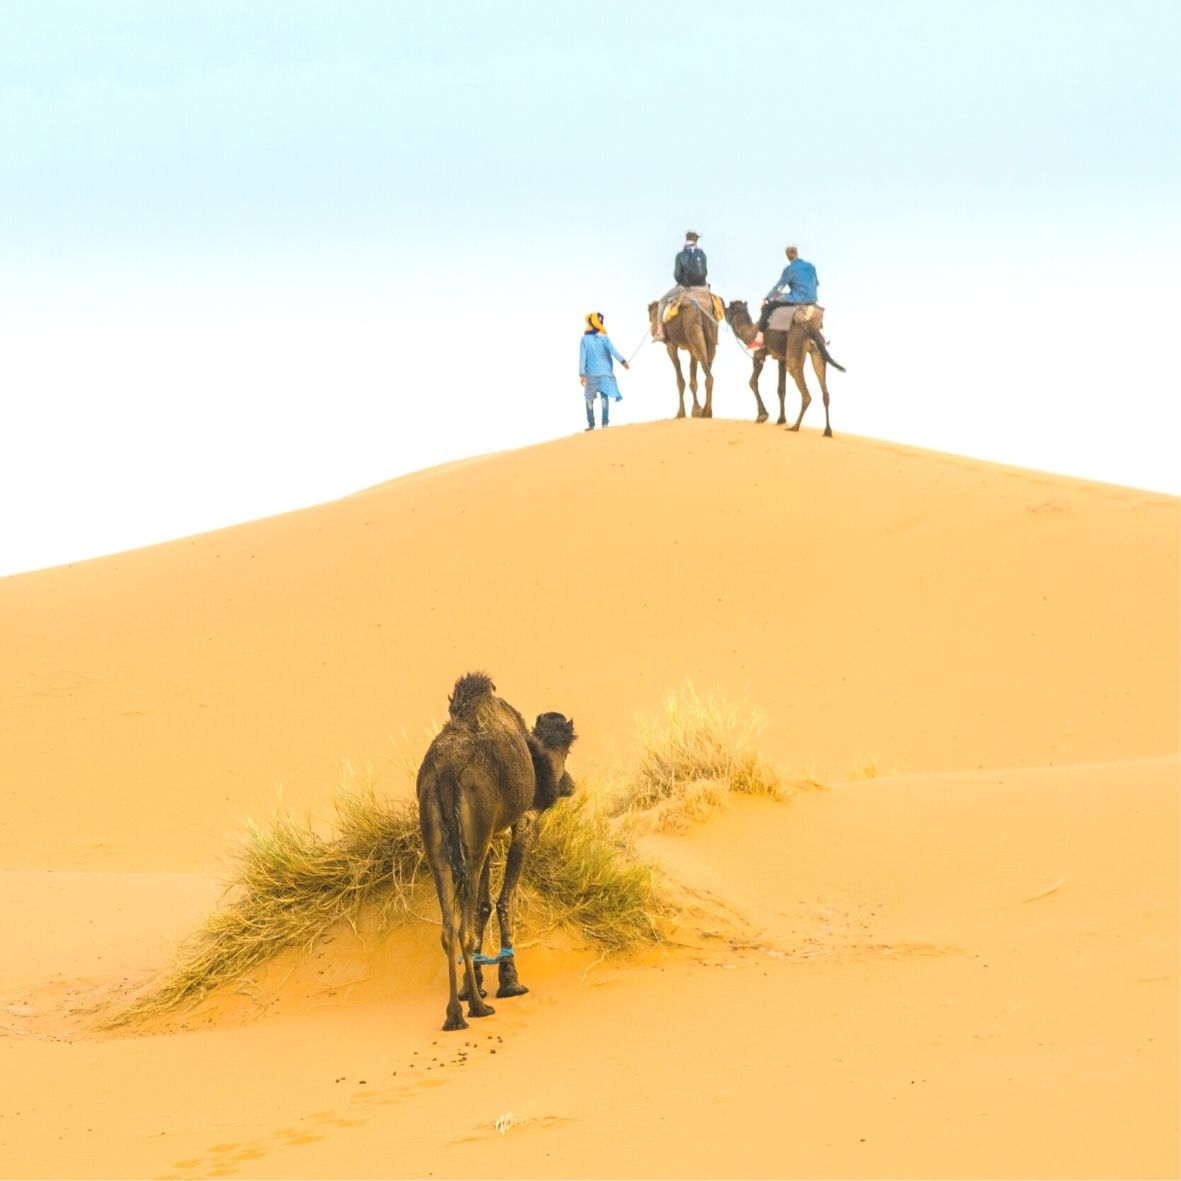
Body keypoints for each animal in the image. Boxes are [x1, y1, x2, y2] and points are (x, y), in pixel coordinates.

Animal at [416, 671, 576, 1032]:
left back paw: (455, 1013)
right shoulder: (525, 823)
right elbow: (506, 901)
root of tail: (447, 774)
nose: (569, 785)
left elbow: (484, 905)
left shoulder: (485, 835)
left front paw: (473, 981)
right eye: (567, 754)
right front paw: (509, 981)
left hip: (440, 844)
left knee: (449, 927)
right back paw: (476, 1008)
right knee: (462, 926)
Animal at [724, 300, 846, 436]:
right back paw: (827, 431)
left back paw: (795, 427)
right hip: (817, 352)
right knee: (825, 393)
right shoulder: (781, 359)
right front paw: (781, 419)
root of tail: (810, 327)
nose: (723, 310)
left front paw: (762, 415)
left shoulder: (759, 354)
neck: (751, 332)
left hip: (795, 348)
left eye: (729, 308)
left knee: (806, 393)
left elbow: (752, 382)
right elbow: (781, 389)